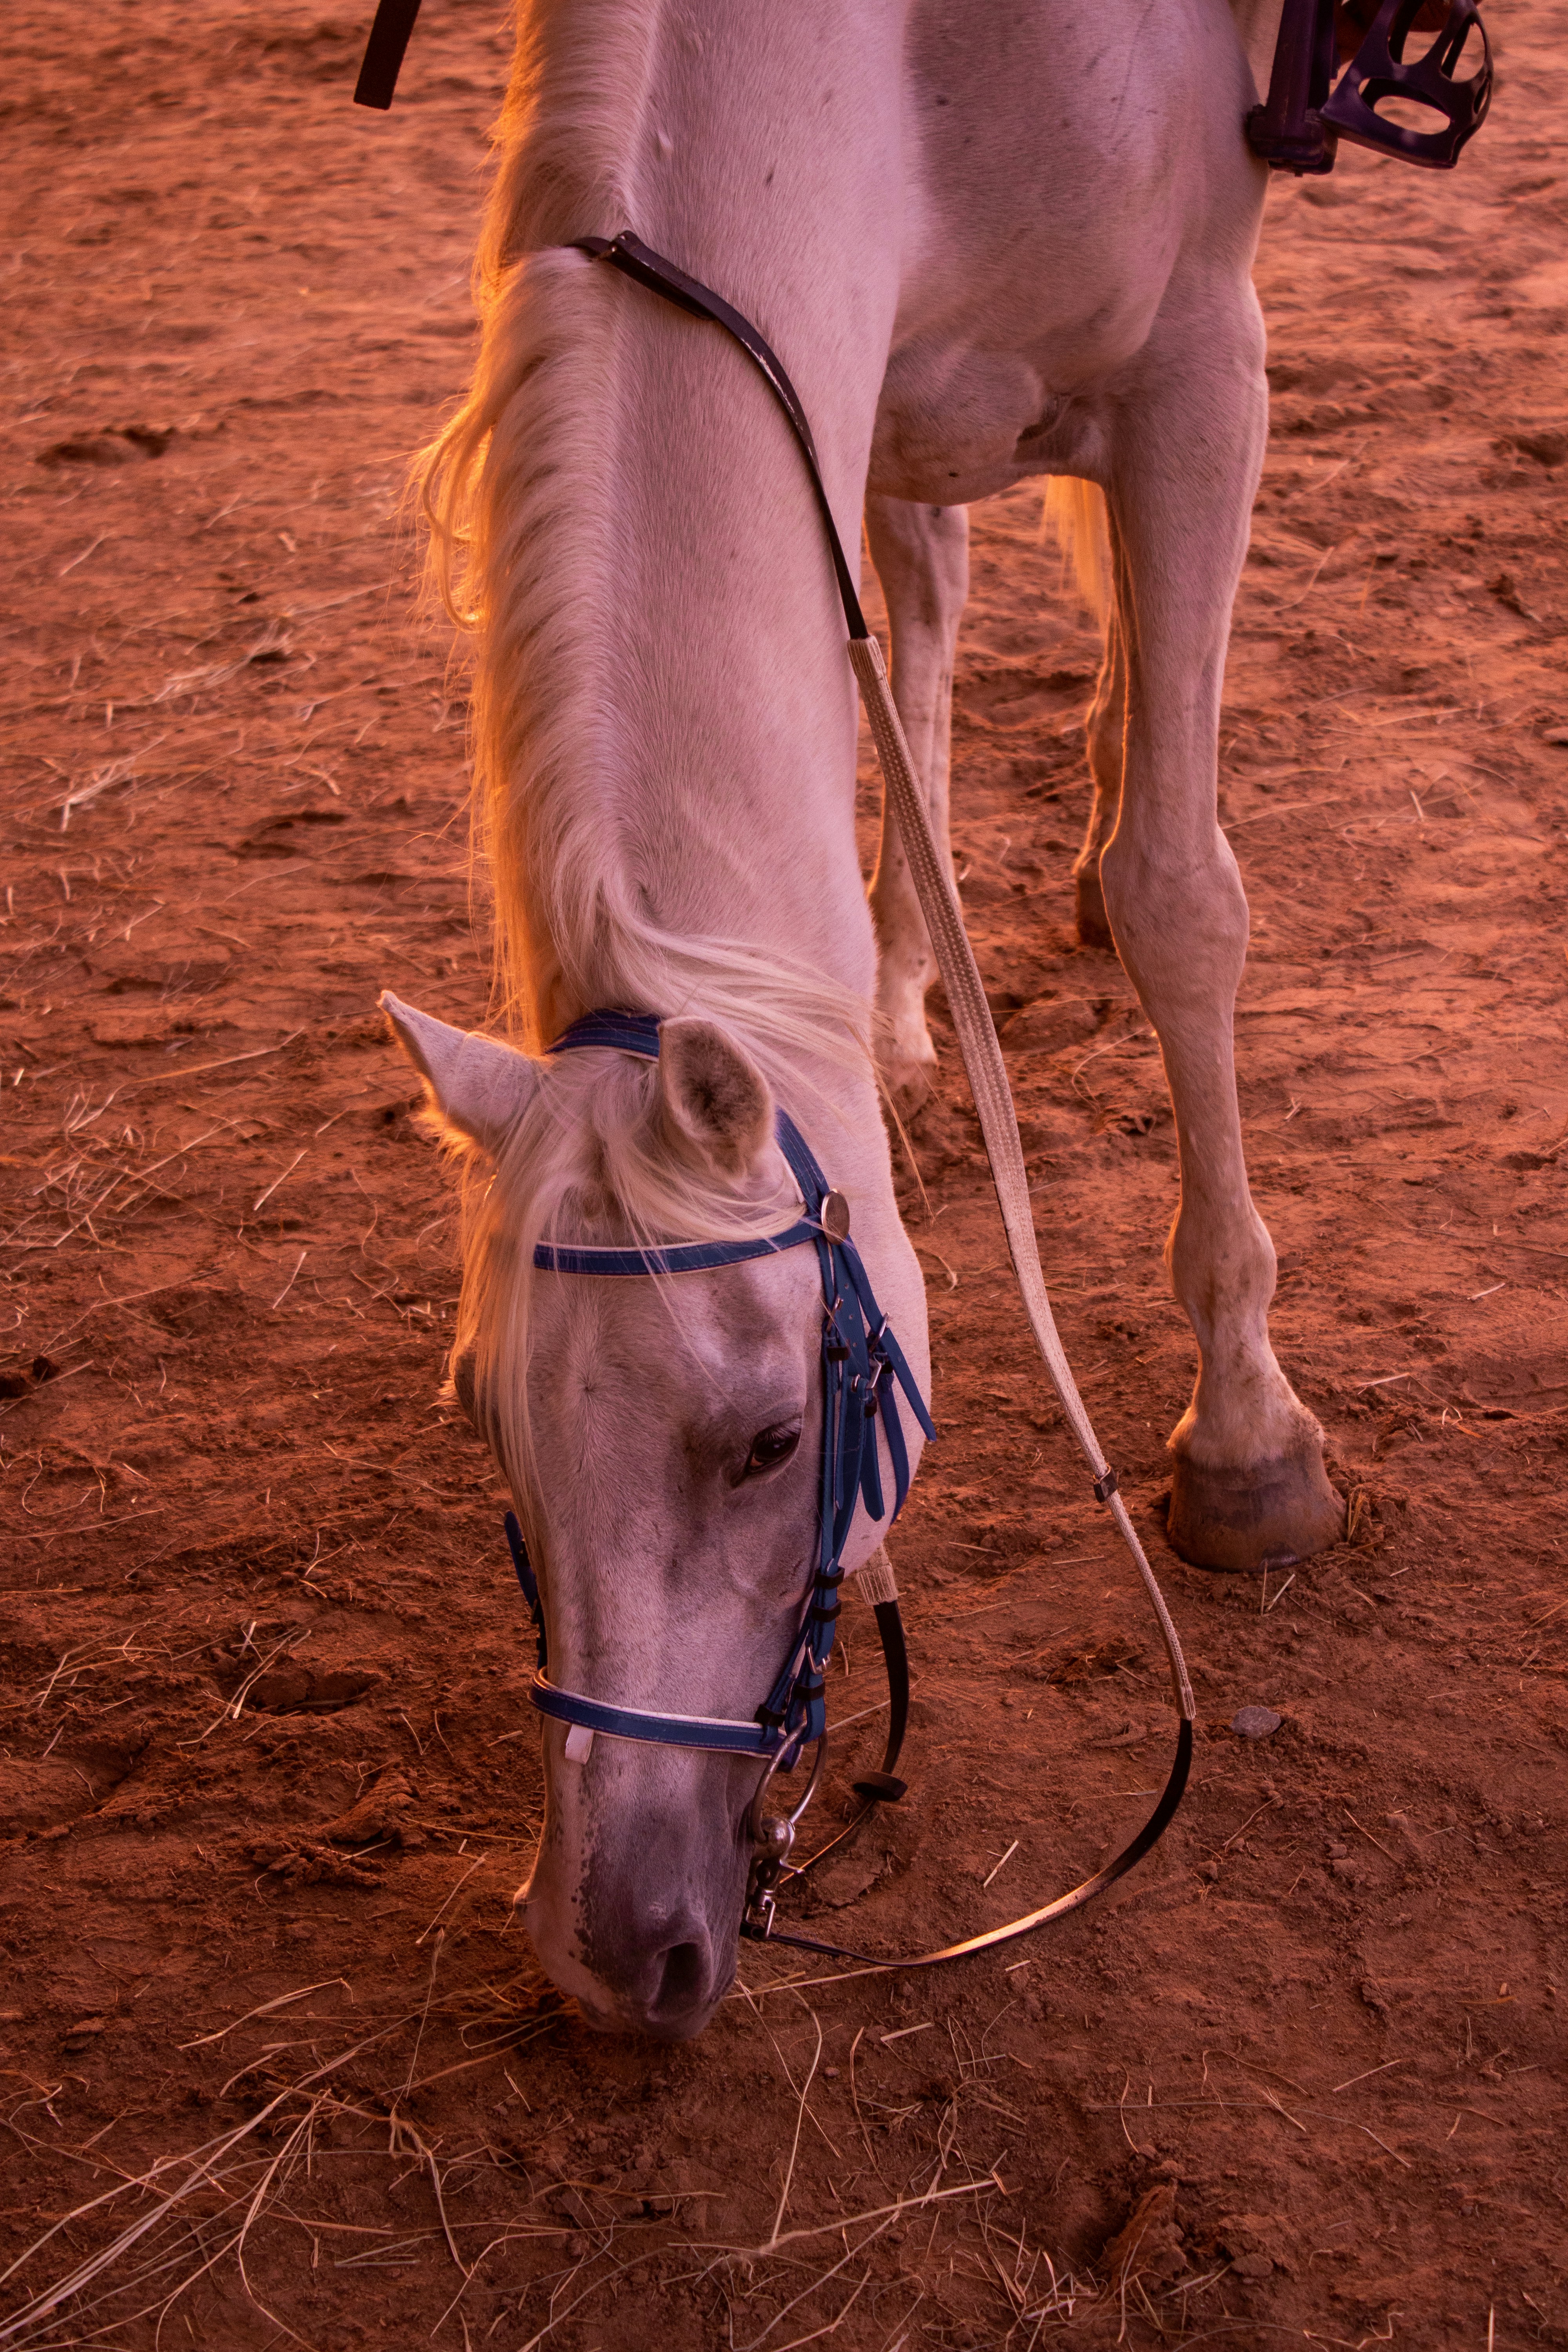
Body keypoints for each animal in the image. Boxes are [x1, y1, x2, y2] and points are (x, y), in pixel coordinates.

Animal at [380, 0, 1344, 2040]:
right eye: (482, 1418)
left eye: (762, 1441)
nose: (606, 1951)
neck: (898, 61)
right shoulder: (846, 385)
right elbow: (903, 662)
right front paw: (902, 991)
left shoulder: (1198, 371)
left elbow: (1182, 892)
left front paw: (1247, 1442)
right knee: (934, 609)